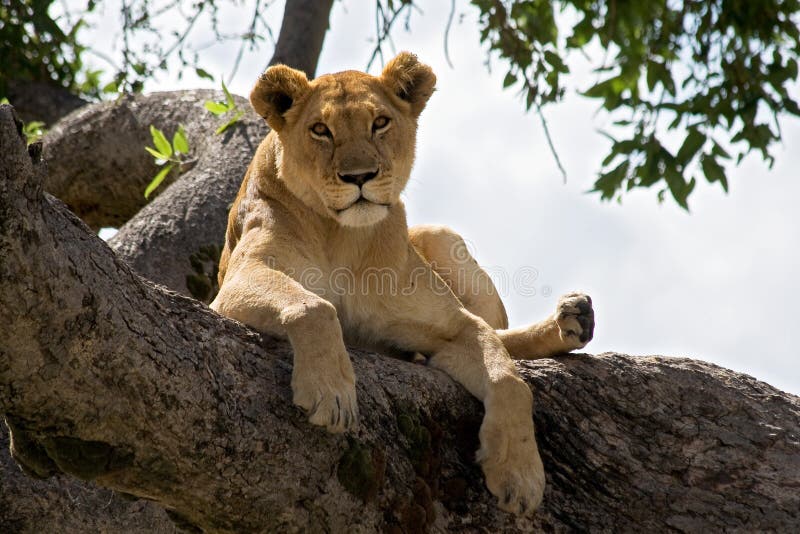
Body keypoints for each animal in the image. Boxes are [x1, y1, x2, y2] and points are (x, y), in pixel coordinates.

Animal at [209, 52, 594, 516]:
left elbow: (508, 378)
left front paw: (520, 476)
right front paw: (331, 392)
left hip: (441, 236)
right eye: (320, 130)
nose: (359, 176)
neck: (345, 238)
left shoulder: (454, 325)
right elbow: (315, 307)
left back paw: (572, 319)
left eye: (380, 122)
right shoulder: (236, 282)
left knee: (500, 331)